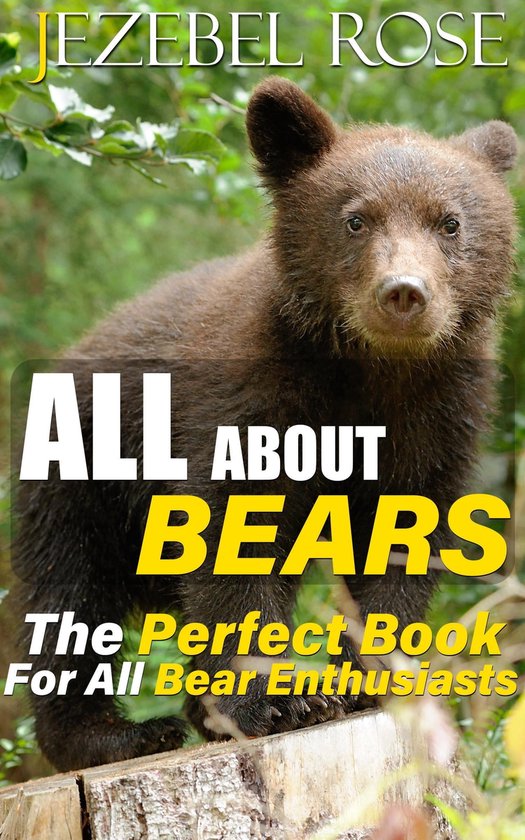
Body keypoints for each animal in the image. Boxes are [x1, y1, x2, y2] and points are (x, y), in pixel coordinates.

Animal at [12, 77, 517, 771]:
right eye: (355, 218)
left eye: (450, 222)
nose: (404, 293)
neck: (368, 371)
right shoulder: (249, 401)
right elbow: (234, 535)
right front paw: (278, 699)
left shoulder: (438, 416)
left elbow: (405, 533)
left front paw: (369, 681)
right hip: (81, 479)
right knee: (70, 597)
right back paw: (114, 734)